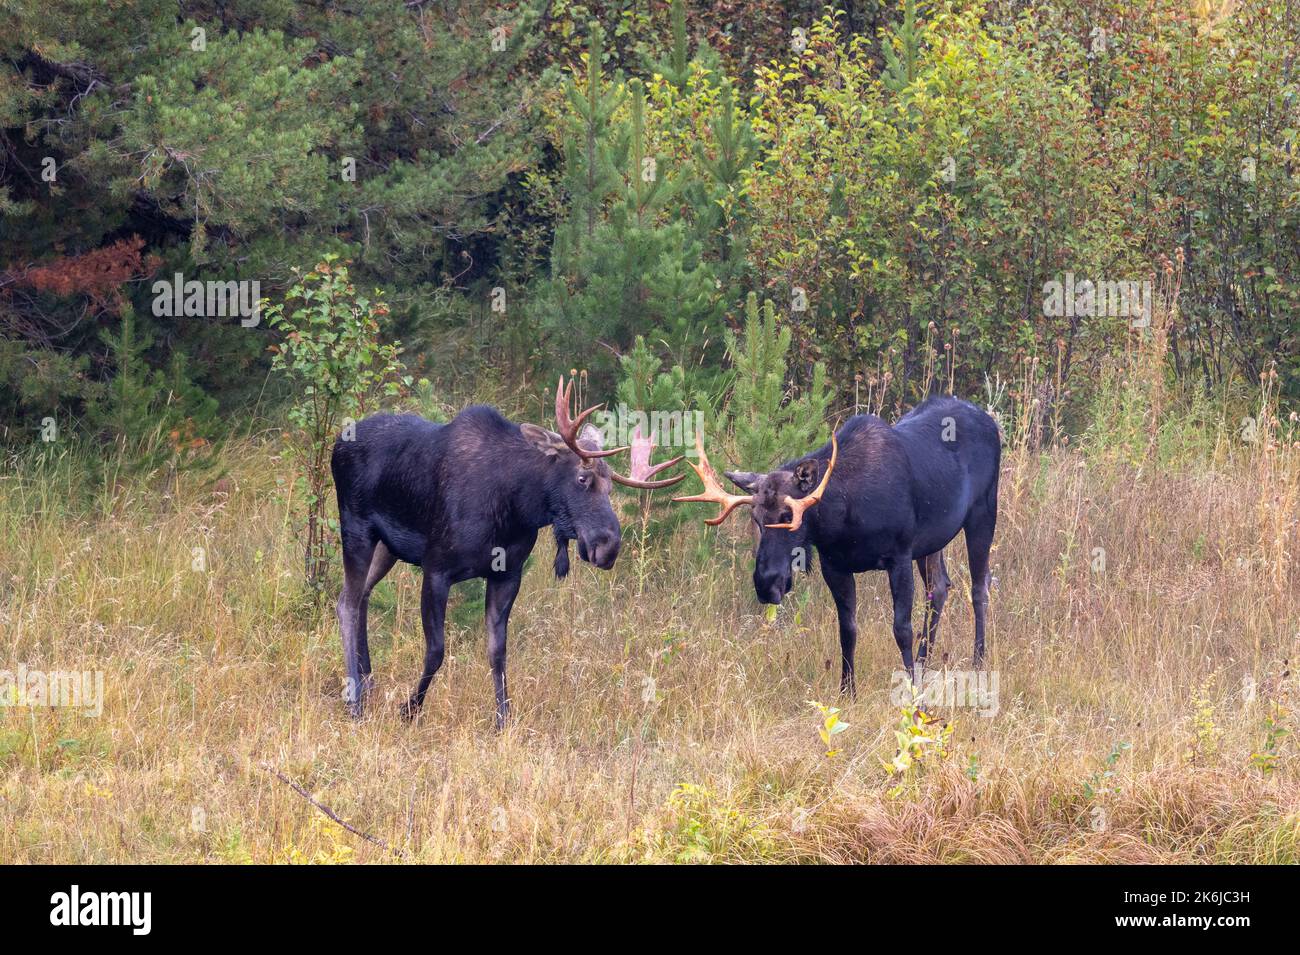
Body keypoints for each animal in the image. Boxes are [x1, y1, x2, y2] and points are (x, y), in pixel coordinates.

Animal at [330, 377, 684, 728]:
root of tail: (336, 444)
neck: (514, 508)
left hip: (387, 546)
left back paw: (368, 682)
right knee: (347, 602)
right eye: (583, 478)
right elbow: (436, 650)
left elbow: (497, 651)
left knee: (363, 596)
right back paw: (355, 701)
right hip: (356, 529)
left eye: (610, 486)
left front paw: (503, 719)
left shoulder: (508, 573)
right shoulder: (436, 568)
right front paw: (409, 709)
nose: (608, 547)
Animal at [674, 397, 1001, 693]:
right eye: (755, 517)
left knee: (979, 586)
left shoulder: (899, 555)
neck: (843, 517)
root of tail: (988, 420)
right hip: (933, 540)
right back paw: (924, 662)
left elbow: (901, 629)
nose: (766, 584)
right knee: (941, 587)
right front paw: (847, 691)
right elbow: (847, 630)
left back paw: (978, 661)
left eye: (788, 516)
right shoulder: (834, 565)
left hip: (983, 513)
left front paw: (912, 691)